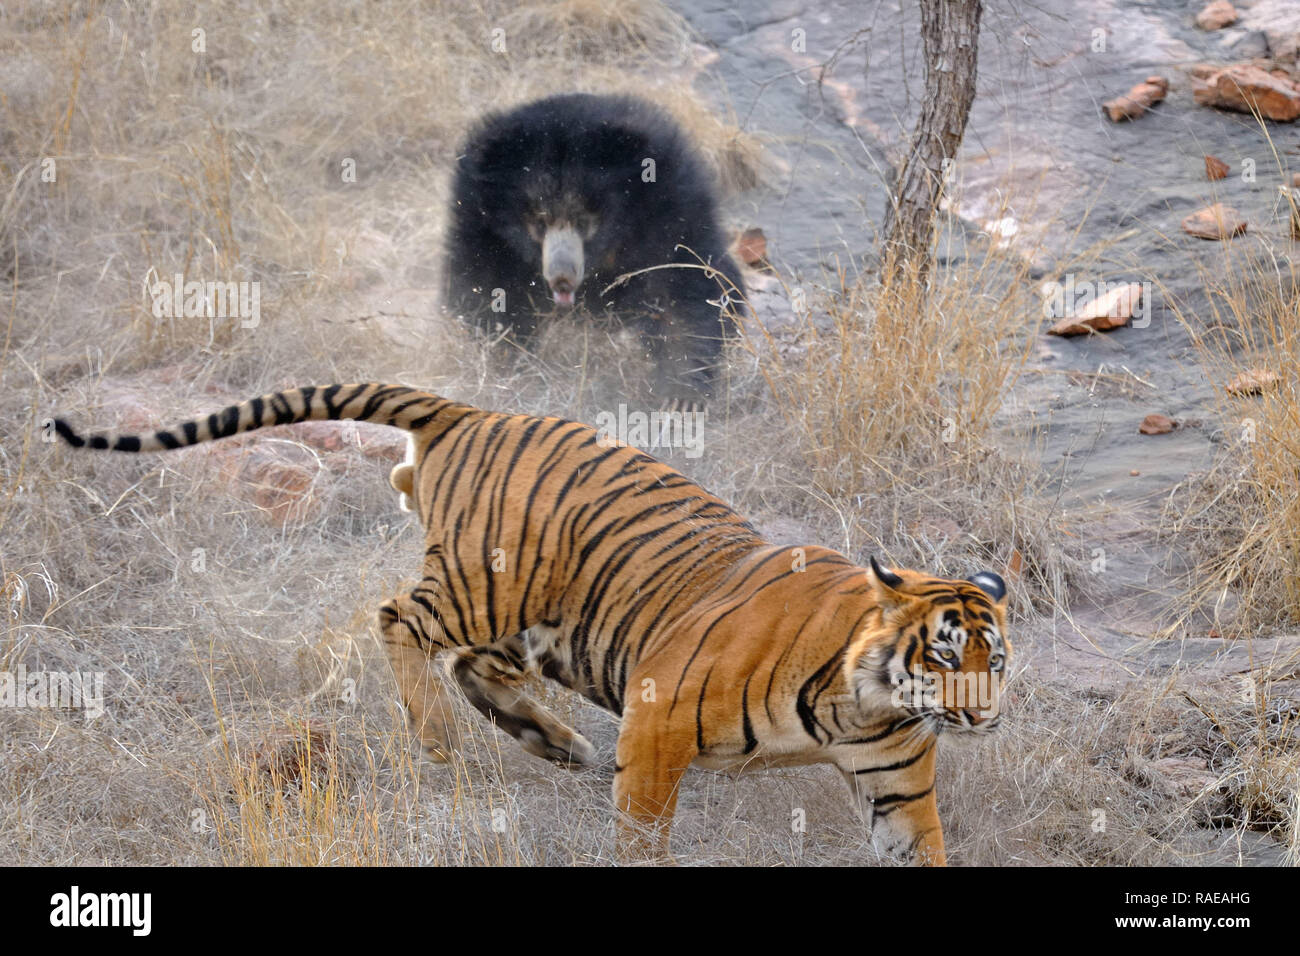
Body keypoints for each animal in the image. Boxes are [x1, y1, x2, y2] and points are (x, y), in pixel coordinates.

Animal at [444, 92, 745, 406]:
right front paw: (506, 360)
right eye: (539, 222)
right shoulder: (481, 227)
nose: (562, 278)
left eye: (584, 221)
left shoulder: (674, 212)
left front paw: (680, 396)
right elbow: (485, 290)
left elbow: (686, 291)